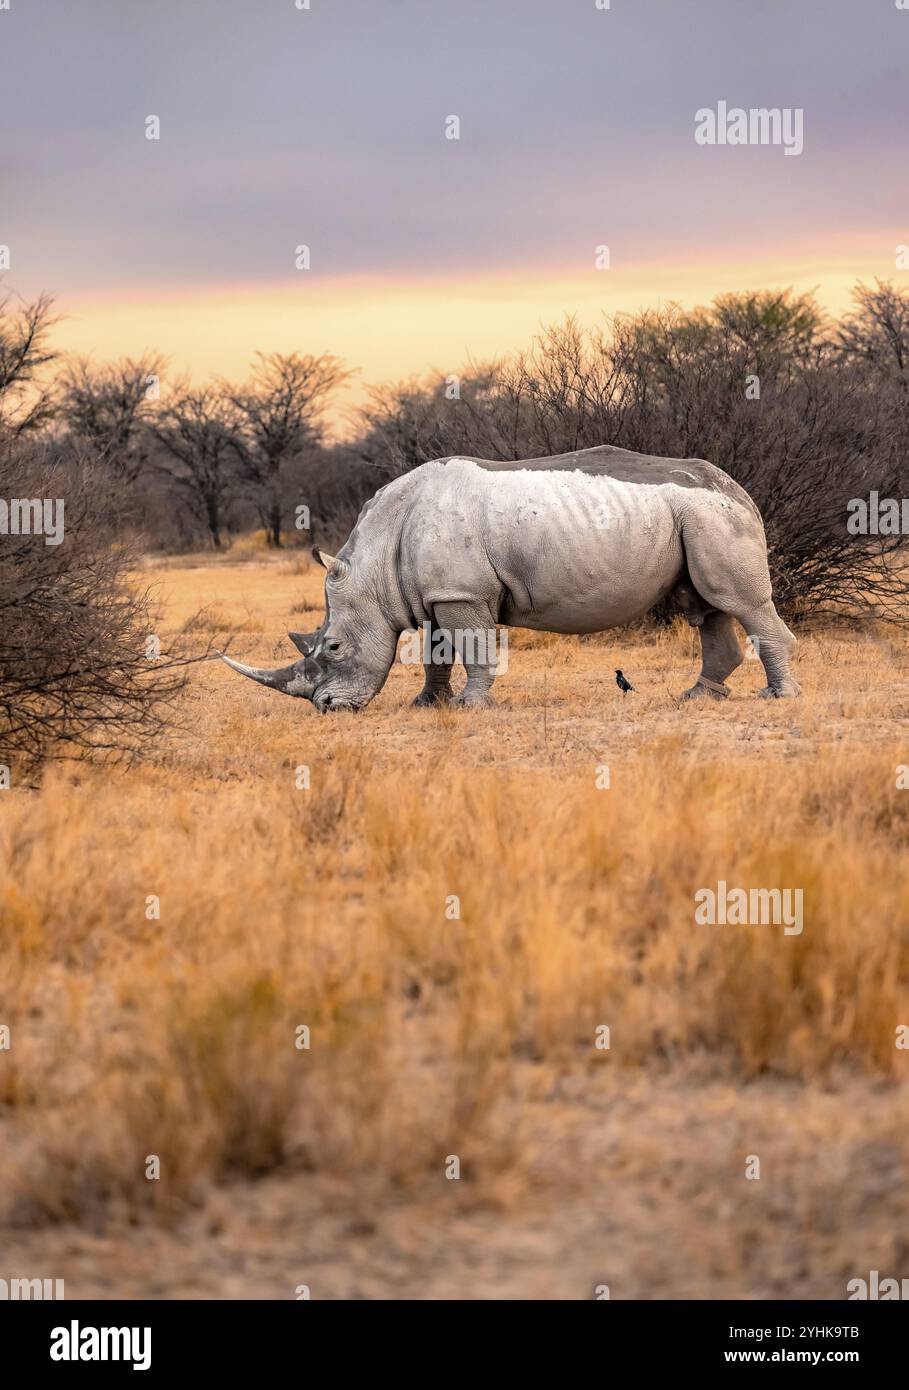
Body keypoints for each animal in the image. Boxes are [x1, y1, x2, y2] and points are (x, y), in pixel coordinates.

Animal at [220, 445, 800, 711]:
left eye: (334, 647)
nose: (326, 709)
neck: (377, 559)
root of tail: (741, 489)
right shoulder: (436, 594)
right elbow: (436, 651)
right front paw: (427, 704)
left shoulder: (462, 592)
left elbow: (472, 646)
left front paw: (470, 706)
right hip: (696, 518)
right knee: (705, 605)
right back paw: (697, 697)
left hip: (713, 517)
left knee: (738, 603)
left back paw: (778, 698)